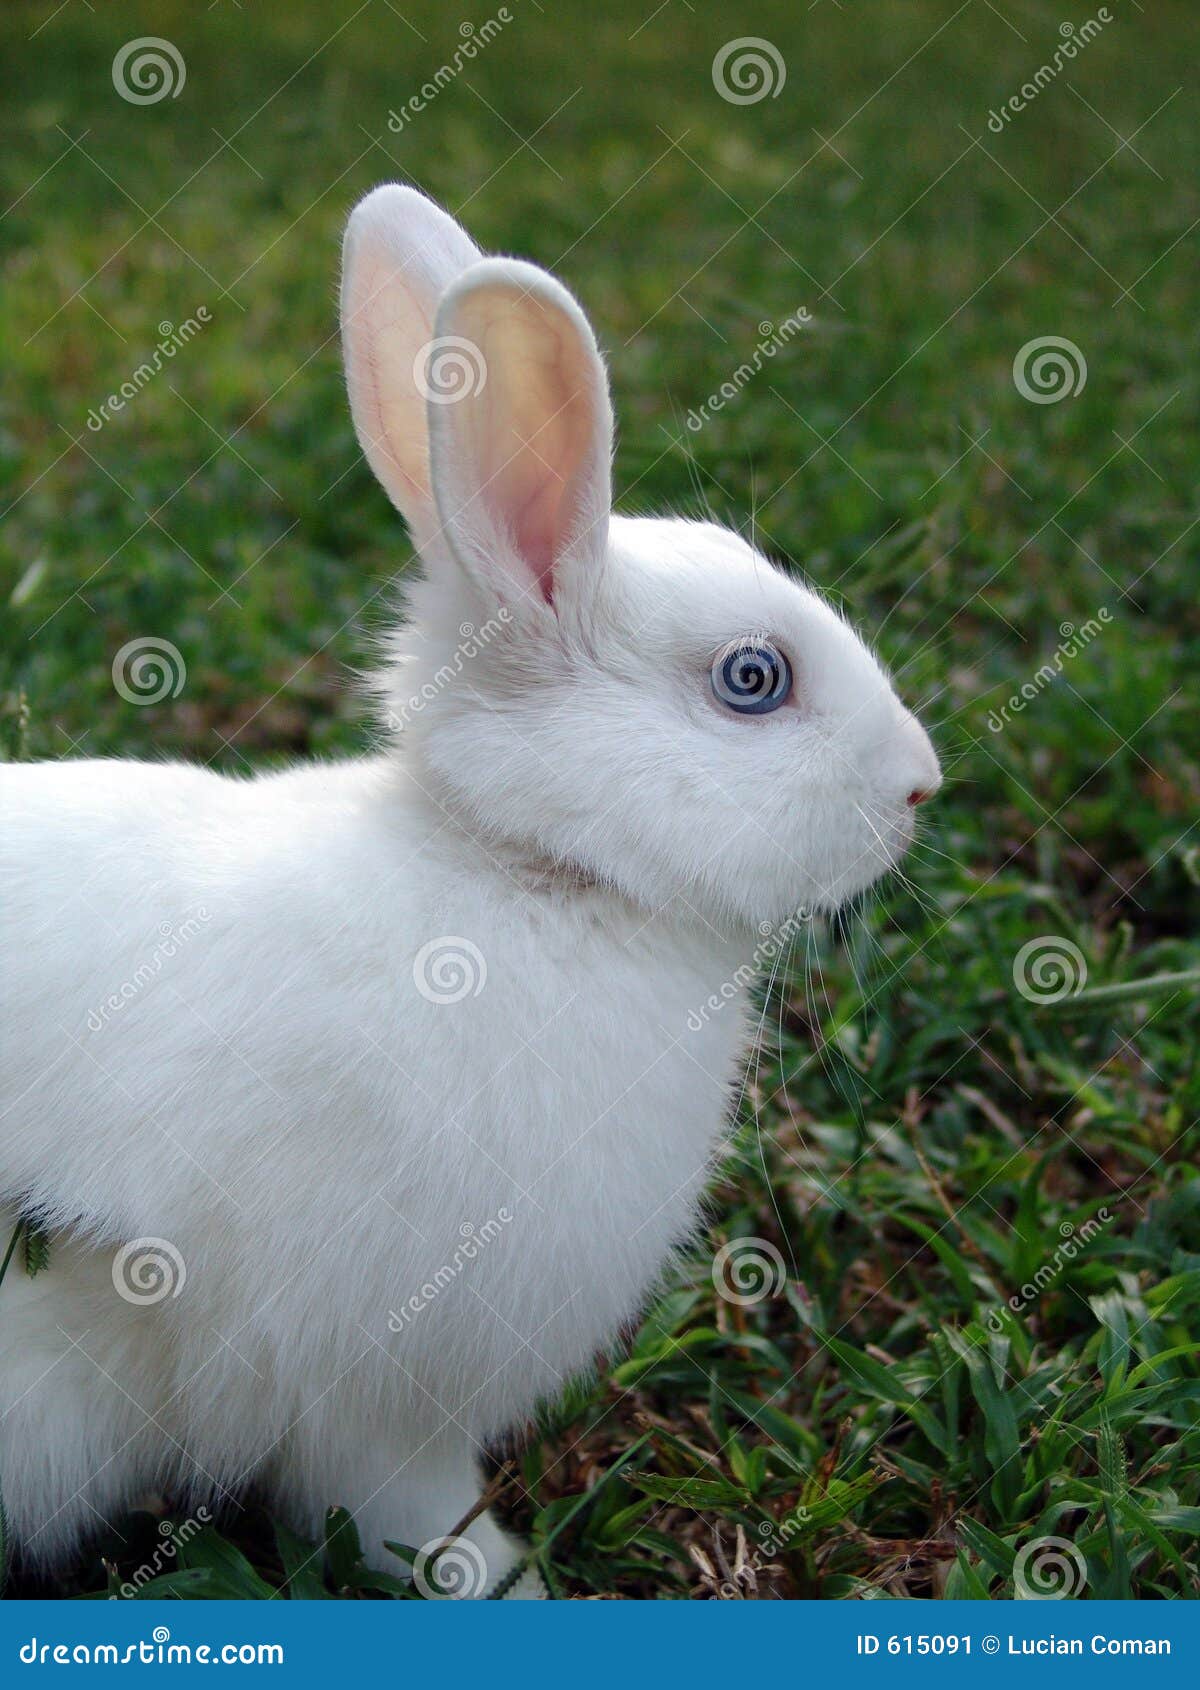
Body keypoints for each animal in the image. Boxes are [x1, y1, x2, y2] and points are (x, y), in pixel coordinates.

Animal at [0, 184, 941, 1597]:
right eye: (754, 679)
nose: (922, 783)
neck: (529, 874)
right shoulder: (373, 1399)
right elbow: (408, 1510)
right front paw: (509, 1579)